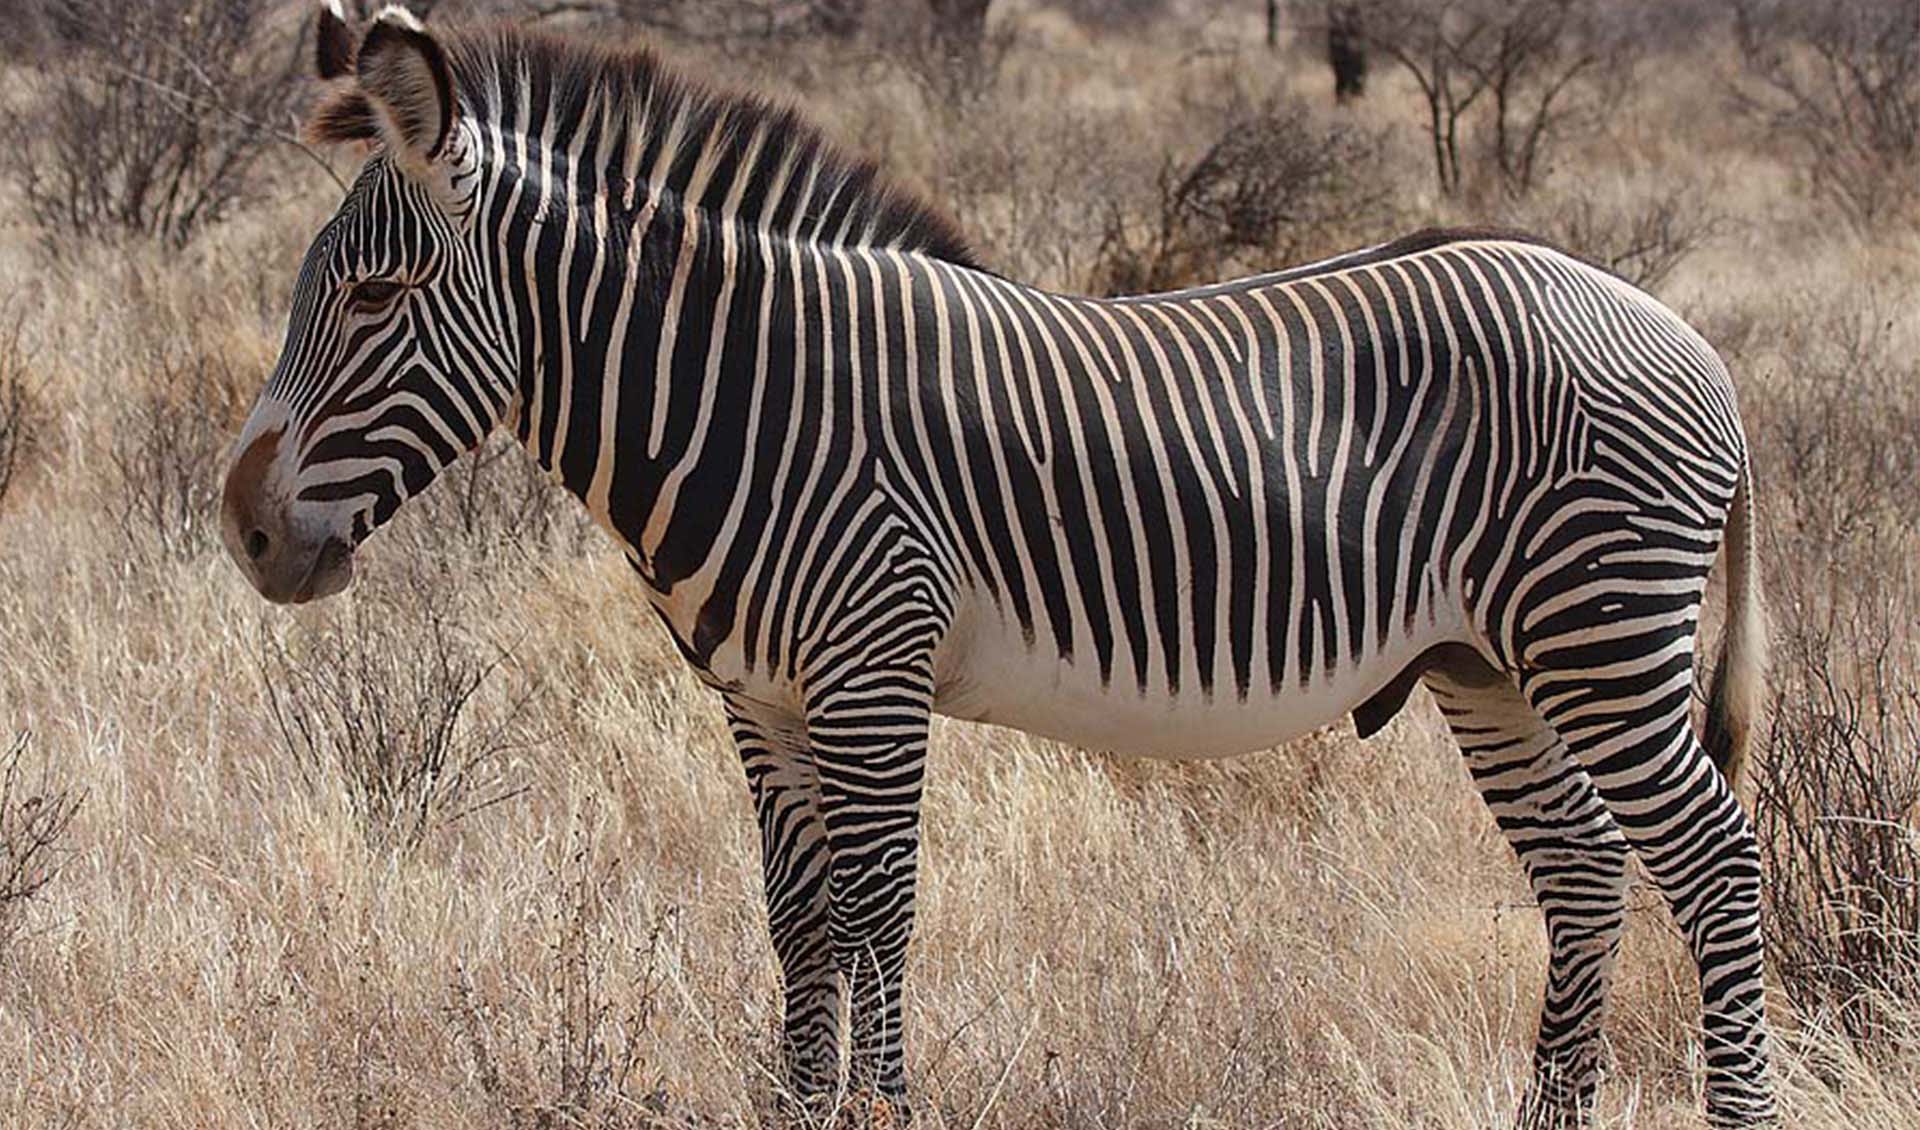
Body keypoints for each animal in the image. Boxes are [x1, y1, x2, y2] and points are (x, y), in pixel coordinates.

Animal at [220, 5, 1776, 1126]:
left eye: (374, 295)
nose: (243, 529)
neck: (757, 398)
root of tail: (1682, 332)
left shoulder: (871, 668)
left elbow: (879, 909)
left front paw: (886, 1110)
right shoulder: (763, 699)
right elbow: (799, 922)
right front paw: (805, 1110)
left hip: (1599, 634)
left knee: (1715, 860)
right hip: (1494, 662)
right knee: (1586, 874)